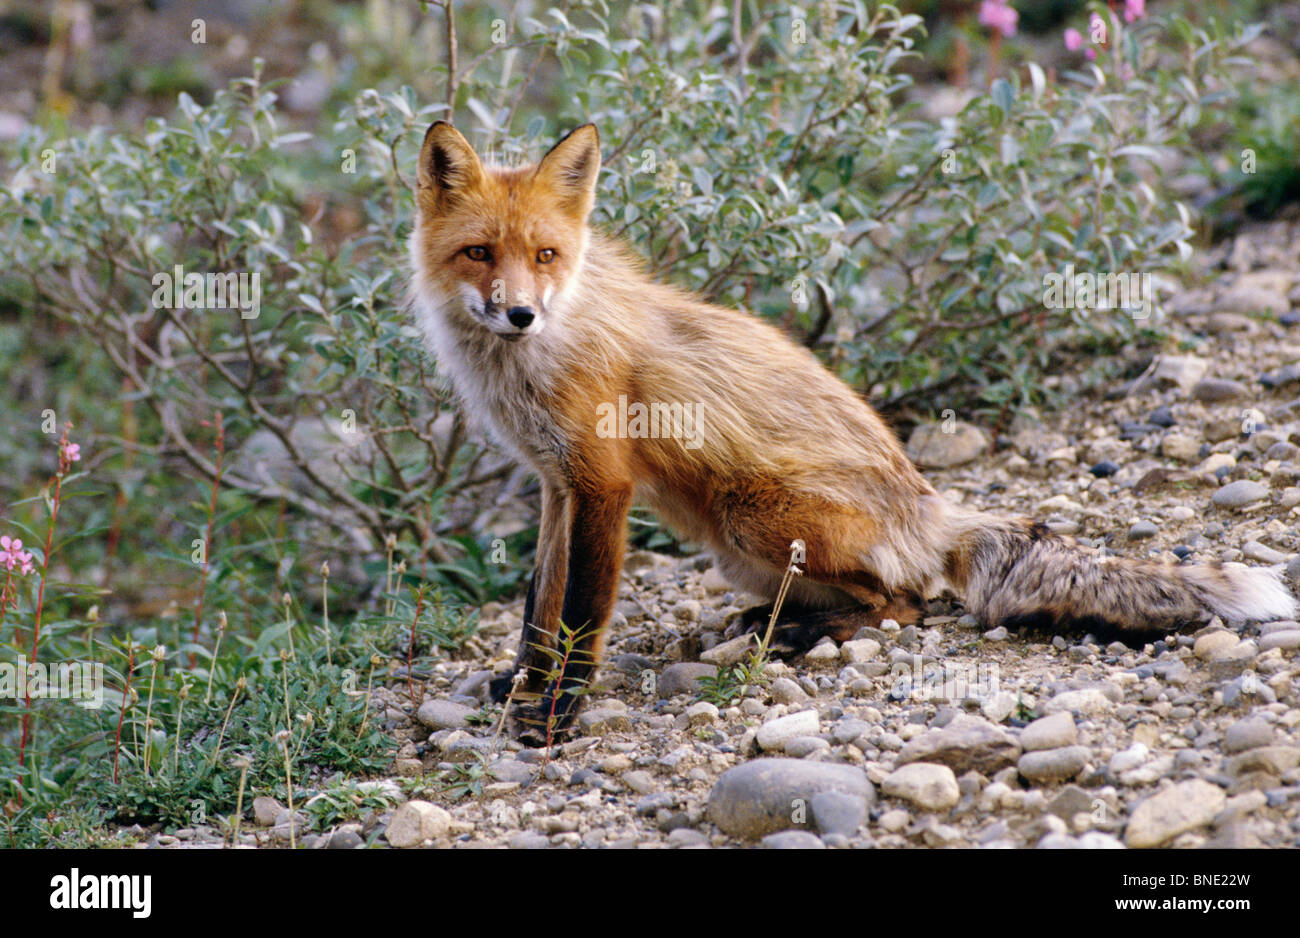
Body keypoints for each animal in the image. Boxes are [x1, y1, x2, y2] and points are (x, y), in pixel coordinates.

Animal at [407, 119, 1298, 743]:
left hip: (748, 516)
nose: (520, 314)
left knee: (910, 602)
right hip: (737, 549)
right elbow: (539, 605)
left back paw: (809, 632)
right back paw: (769, 623)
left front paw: (558, 715)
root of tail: (930, 505)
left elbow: (581, 616)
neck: (536, 359)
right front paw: (524, 684)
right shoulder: (557, 484)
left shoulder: (603, 484)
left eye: (546, 255)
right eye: (479, 253)